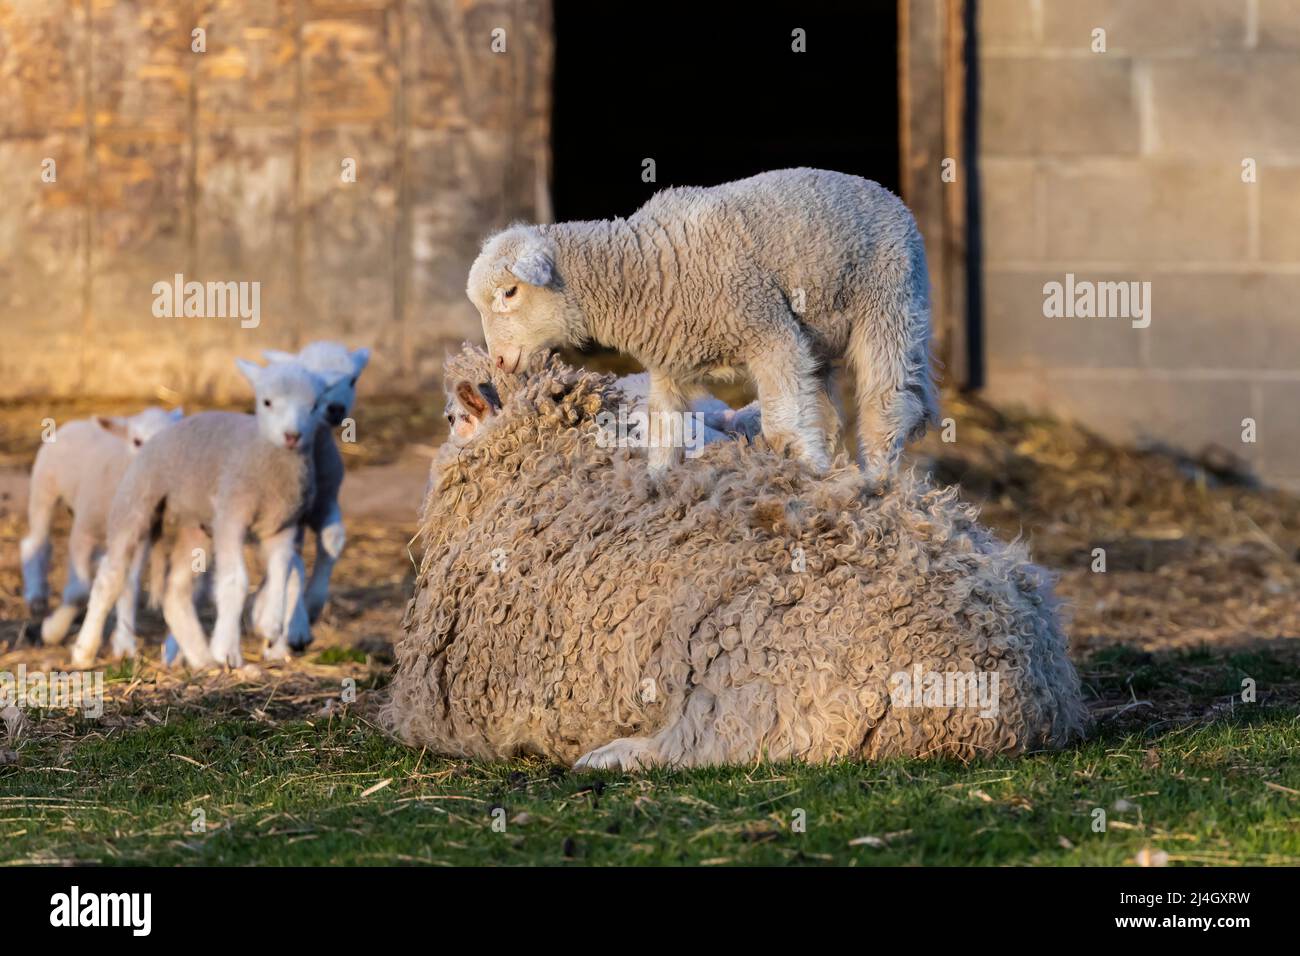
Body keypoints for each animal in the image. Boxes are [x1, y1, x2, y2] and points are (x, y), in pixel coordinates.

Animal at [20, 408, 182, 653]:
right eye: (137, 441)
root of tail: (78, 421)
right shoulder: (84, 531)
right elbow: (80, 591)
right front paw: (52, 631)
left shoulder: (137, 539)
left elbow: (127, 585)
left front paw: (124, 642)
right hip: (44, 489)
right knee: (35, 542)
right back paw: (36, 596)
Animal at [68, 360, 327, 670]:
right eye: (266, 402)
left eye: (315, 405)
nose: (292, 436)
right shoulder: (230, 516)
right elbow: (235, 580)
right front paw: (227, 650)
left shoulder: (283, 525)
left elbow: (283, 573)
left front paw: (270, 627)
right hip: (136, 502)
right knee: (110, 577)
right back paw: (83, 651)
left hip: (194, 527)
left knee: (175, 592)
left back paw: (202, 659)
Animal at [466, 167, 939, 484]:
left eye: (510, 292)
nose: (501, 362)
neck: (642, 268)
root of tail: (884, 191)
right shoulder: (669, 363)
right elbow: (665, 430)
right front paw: (659, 480)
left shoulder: (769, 331)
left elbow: (781, 428)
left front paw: (808, 474)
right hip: (818, 340)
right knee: (826, 411)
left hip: (889, 305)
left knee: (887, 403)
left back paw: (875, 480)